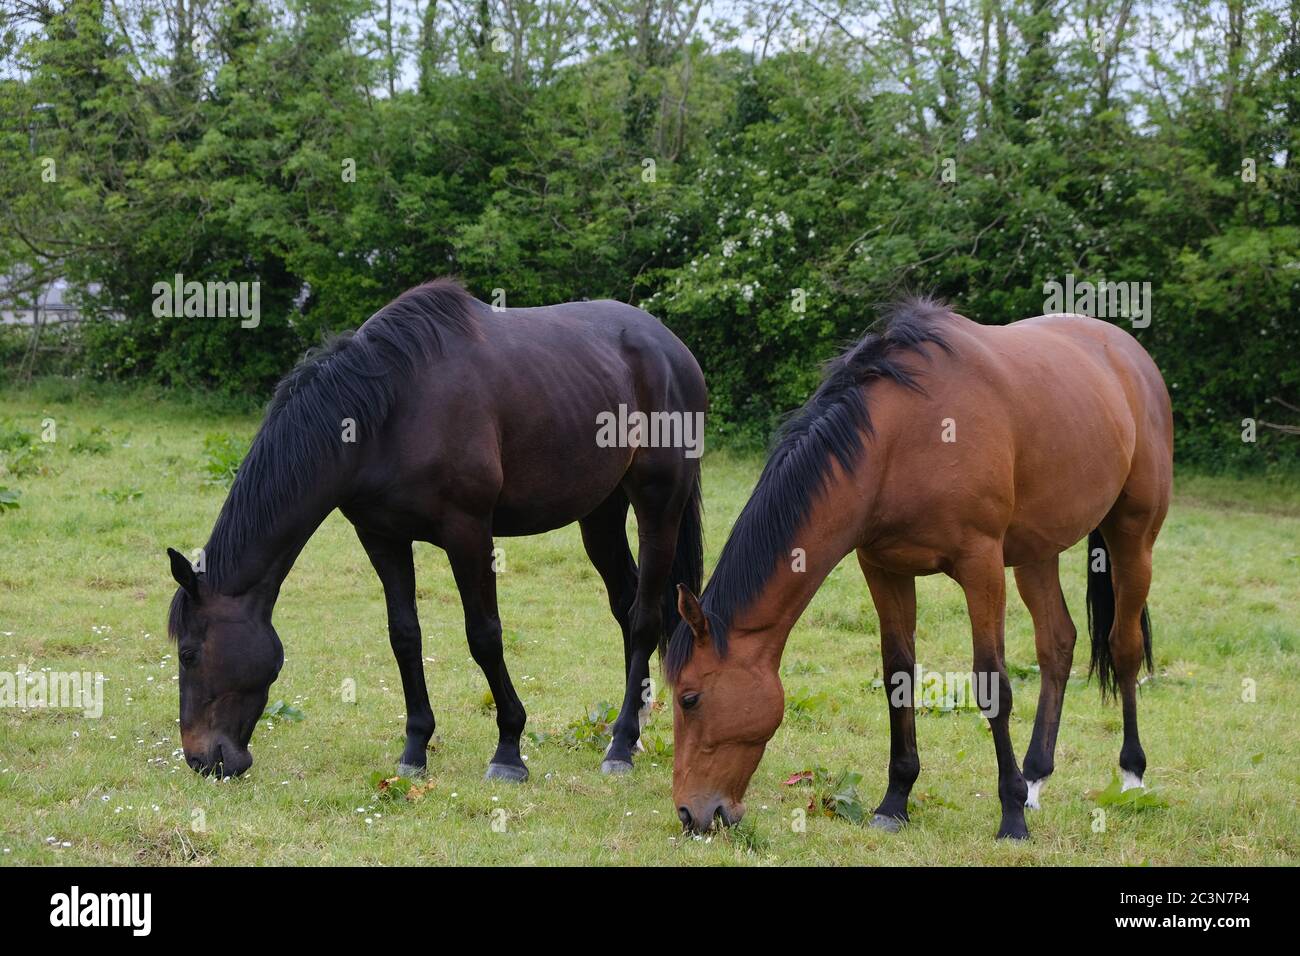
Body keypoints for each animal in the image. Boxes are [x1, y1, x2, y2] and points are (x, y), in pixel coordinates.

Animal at [166, 279, 706, 783]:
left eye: (189, 653)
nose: (201, 759)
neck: (388, 411)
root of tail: (672, 349)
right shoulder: (381, 537)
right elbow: (404, 636)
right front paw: (415, 748)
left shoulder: (468, 531)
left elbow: (484, 636)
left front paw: (508, 749)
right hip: (600, 514)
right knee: (625, 603)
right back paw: (633, 729)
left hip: (659, 504)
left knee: (645, 616)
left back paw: (621, 746)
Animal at [666, 298, 1172, 840]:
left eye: (690, 699)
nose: (691, 814)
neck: (903, 437)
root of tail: (1130, 355)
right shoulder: (883, 568)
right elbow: (898, 675)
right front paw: (895, 801)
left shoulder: (981, 564)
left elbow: (992, 682)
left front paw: (1010, 816)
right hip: (1037, 552)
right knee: (1057, 644)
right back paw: (1036, 778)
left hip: (1132, 538)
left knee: (1124, 647)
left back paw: (1131, 775)